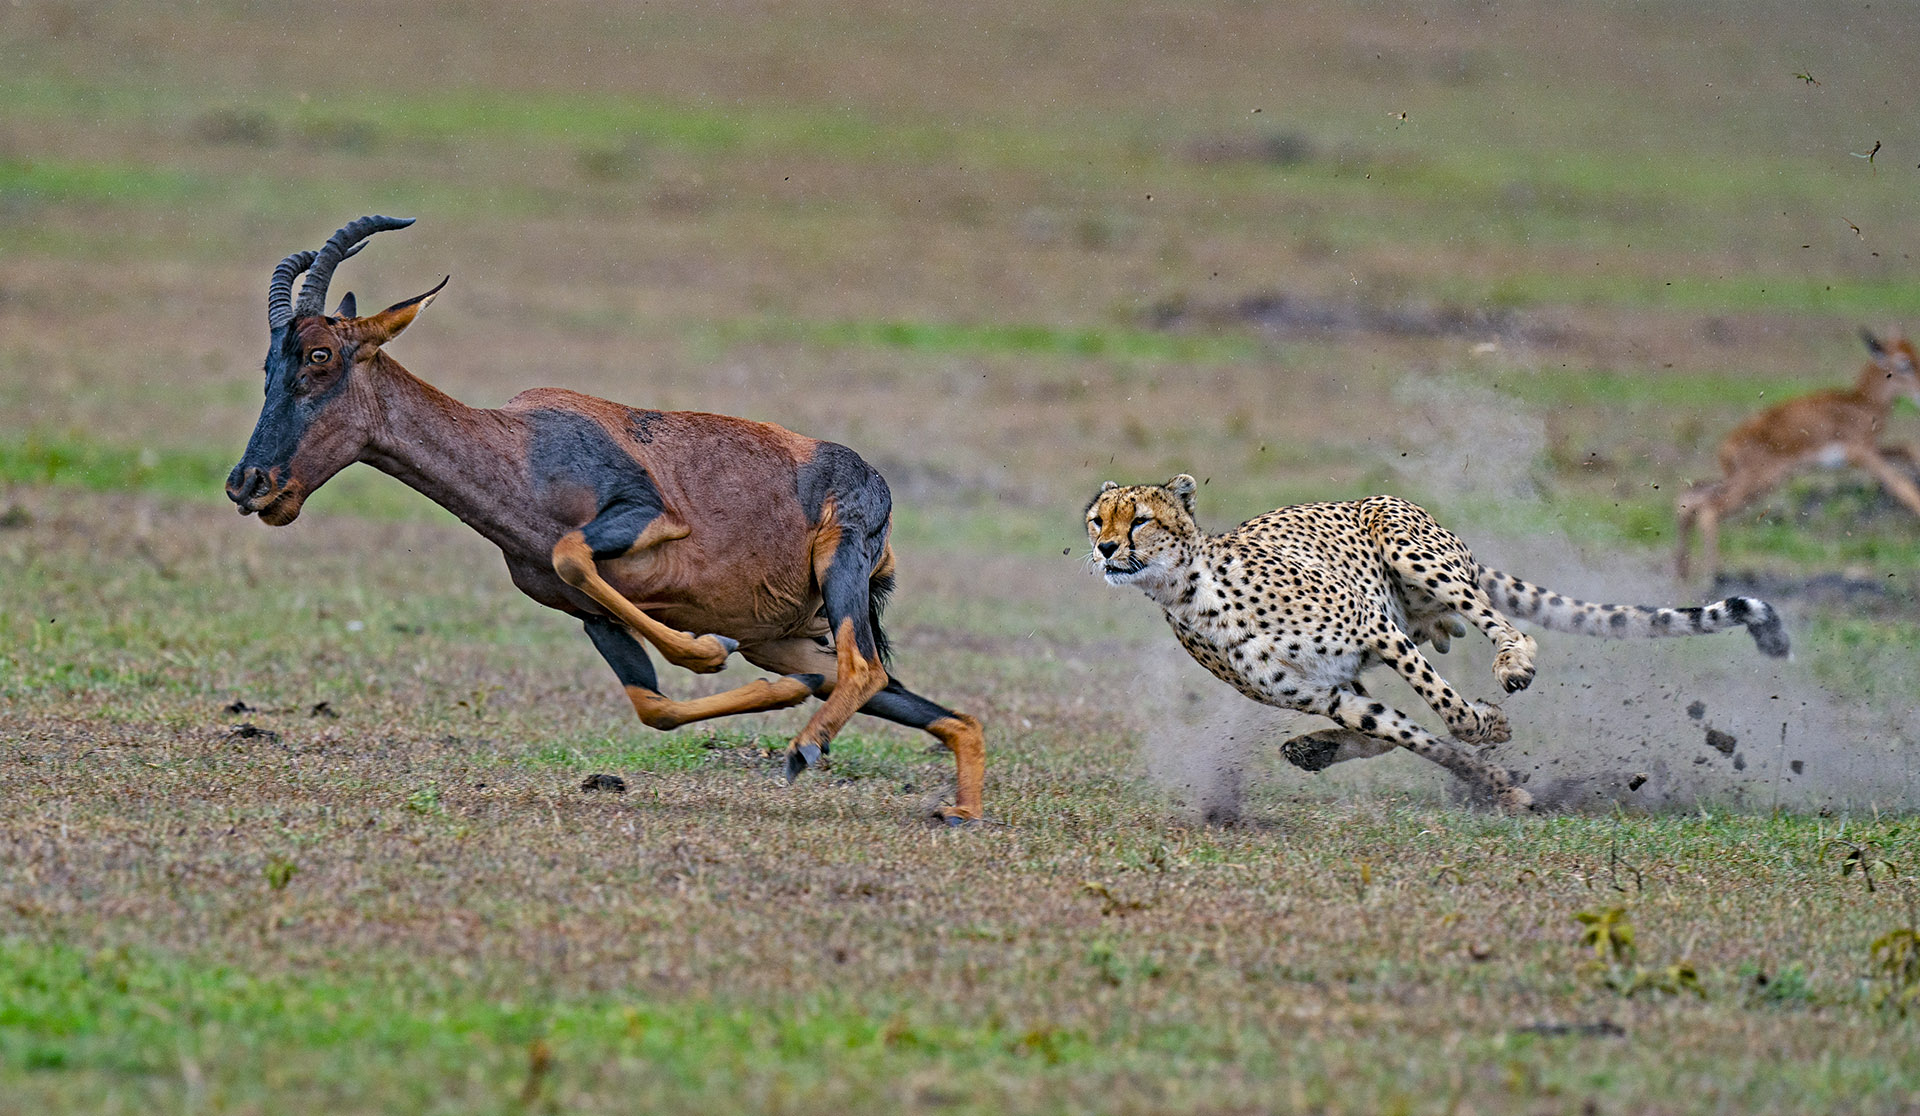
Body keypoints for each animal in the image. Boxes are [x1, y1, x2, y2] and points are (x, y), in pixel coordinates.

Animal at [226, 216, 985, 821]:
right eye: (268, 363)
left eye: (321, 355)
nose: (248, 484)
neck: (524, 443)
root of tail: (868, 477)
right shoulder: (591, 614)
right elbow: (654, 705)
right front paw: (751, 678)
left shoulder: (647, 515)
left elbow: (573, 554)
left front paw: (707, 651)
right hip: (784, 636)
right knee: (914, 701)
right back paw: (958, 806)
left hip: (841, 562)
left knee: (864, 668)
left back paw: (804, 749)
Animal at [1085, 475, 1790, 812]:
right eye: (1097, 519)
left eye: (1139, 519)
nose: (1105, 549)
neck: (1191, 589)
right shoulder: (1328, 694)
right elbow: (1416, 738)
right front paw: (1497, 784)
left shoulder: (1374, 627)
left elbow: (1445, 710)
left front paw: (1486, 726)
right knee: (1375, 735)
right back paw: (1312, 750)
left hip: (1413, 555)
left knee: (1506, 626)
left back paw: (1512, 664)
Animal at [1675, 330, 1920, 583]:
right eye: (1904, 363)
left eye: (1916, 353)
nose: (1919, 394)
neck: (1864, 403)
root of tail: (1726, 446)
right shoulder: (1860, 453)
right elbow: (1900, 483)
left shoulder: (1872, 449)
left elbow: (1908, 448)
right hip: (1761, 481)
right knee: (1707, 507)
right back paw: (1714, 574)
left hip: (1741, 480)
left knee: (1690, 495)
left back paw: (1683, 571)